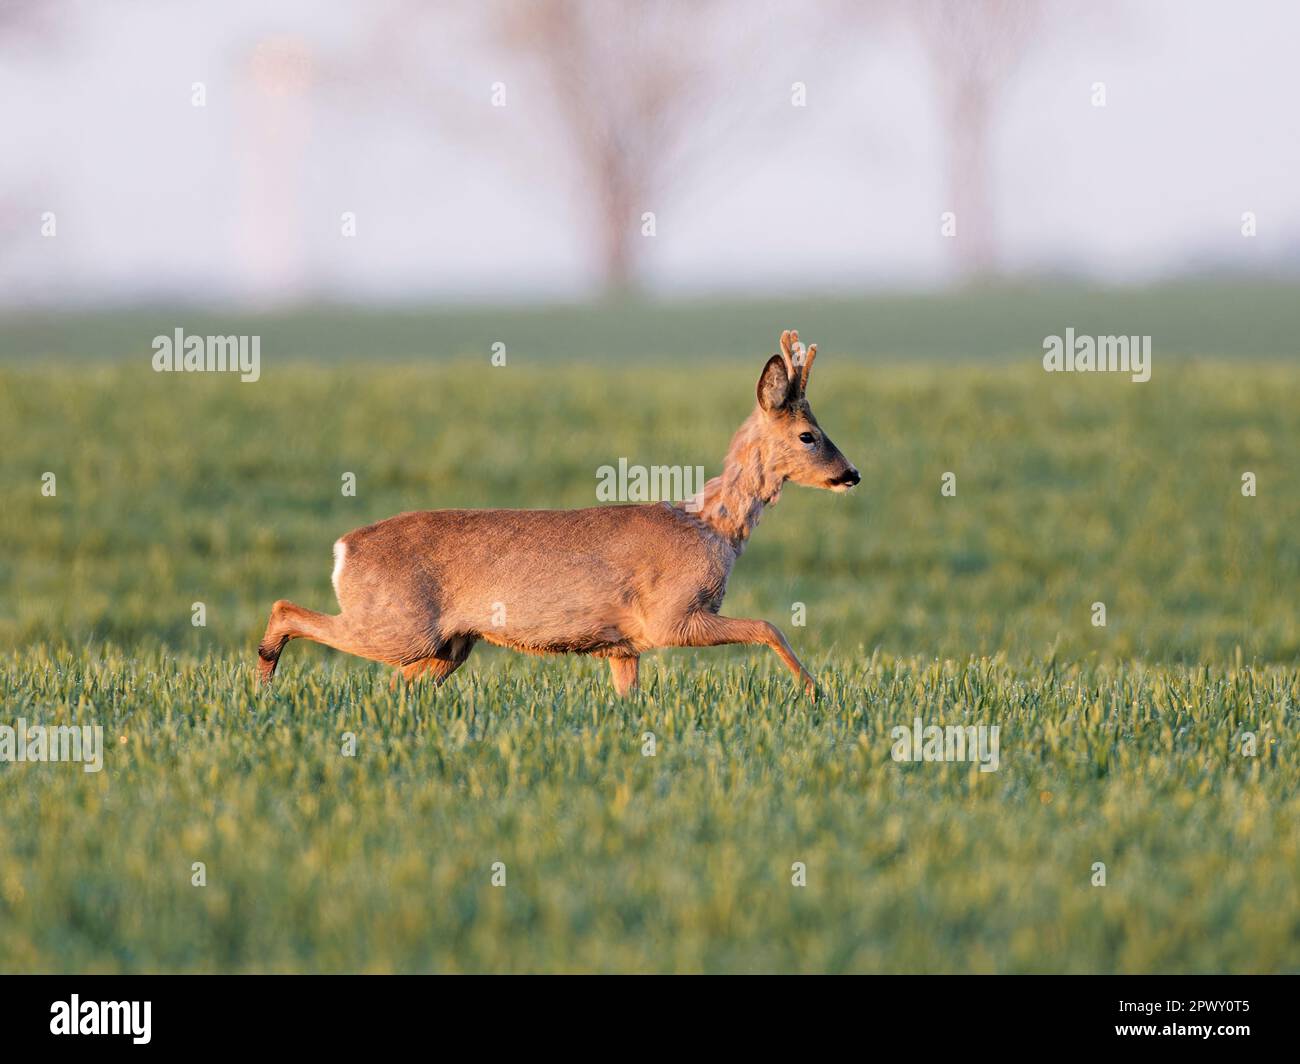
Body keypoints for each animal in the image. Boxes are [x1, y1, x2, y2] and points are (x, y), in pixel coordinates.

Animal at [257, 329, 859, 699]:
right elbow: (768, 626)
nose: (851, 473)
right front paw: (816, 692)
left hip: (449, 645)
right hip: (401, 625)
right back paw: (263, 677)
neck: (711, 527)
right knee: (289, 608)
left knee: (393, 687)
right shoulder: (672, 616)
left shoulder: (625, 647)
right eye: (809, 435)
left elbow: (630, 694)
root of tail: (343, 549)